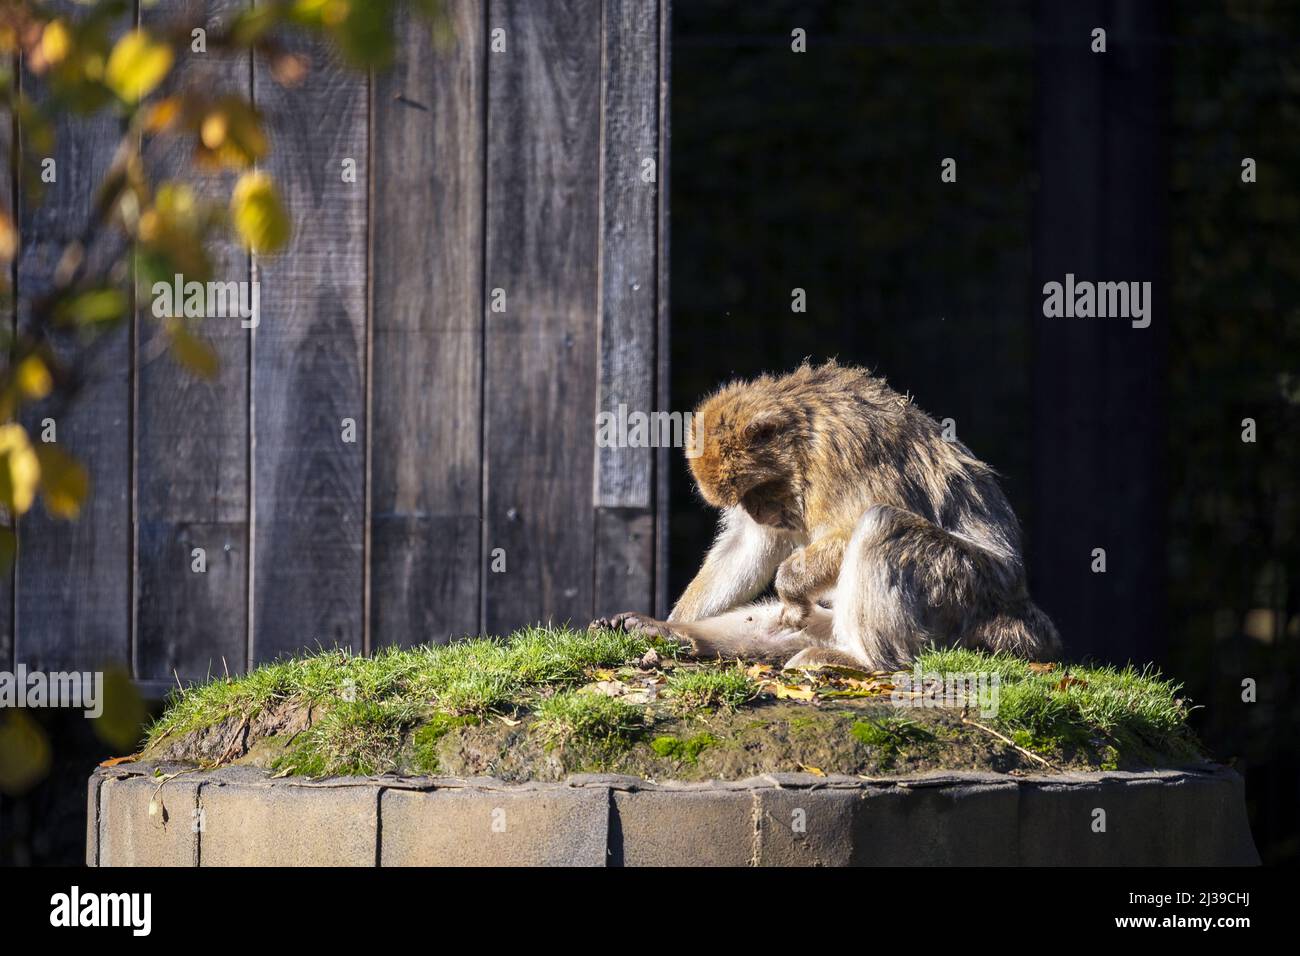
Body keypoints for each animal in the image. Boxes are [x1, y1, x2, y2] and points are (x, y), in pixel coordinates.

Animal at [593, 360, 1061, 672]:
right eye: (744, 502)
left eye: (757, 492)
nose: (759, 511)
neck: (803, 434)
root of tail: (1028, 622)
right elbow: (750, 546)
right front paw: (671, 623)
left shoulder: (843, 450)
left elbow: (854, 524)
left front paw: (790, 582)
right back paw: (673, 634)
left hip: (971, 599)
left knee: (882, 524)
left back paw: (861, 660)